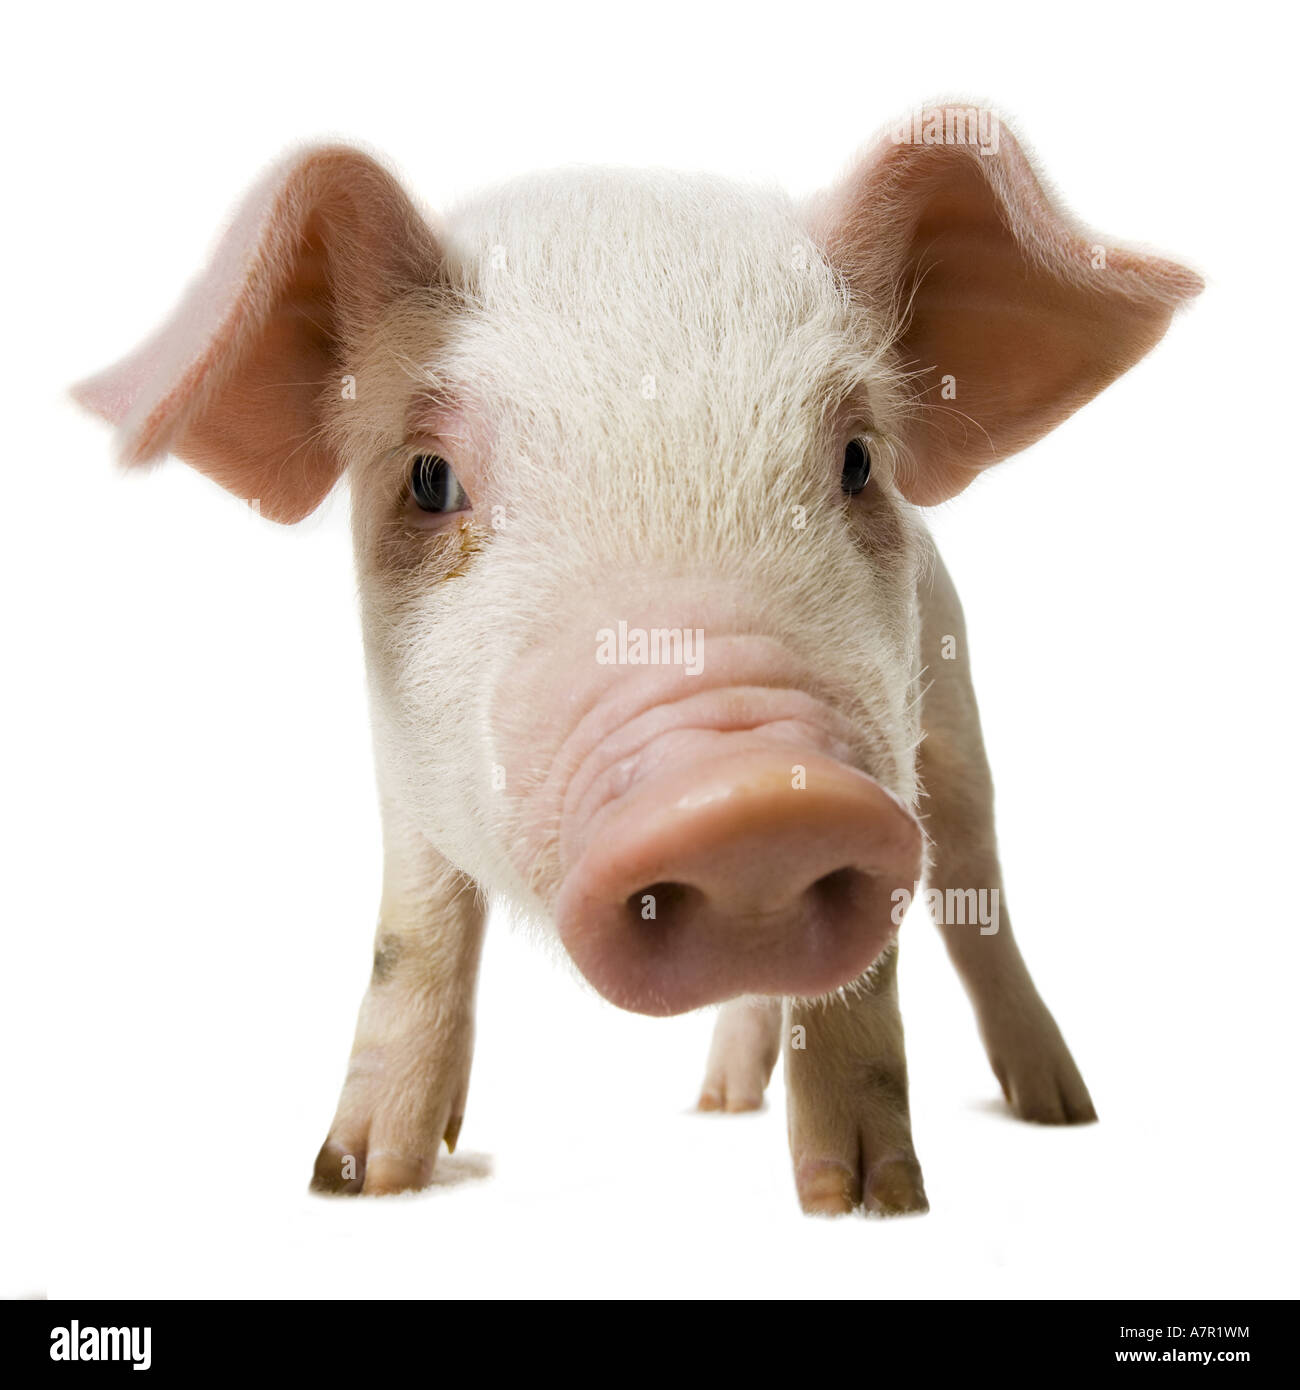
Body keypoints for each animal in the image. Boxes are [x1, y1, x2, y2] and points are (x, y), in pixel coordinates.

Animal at [74, 107, 1201, 1215]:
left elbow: (862, 984)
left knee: (977, 892)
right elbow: (417, 938)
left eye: (858, 460)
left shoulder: (895, 748)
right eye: (430, 479)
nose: (752, 795)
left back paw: (1059, 1110)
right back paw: (717, 1103)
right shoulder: (400, 779)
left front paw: (868, 1201)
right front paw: (362, 1182)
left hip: (953, 721)